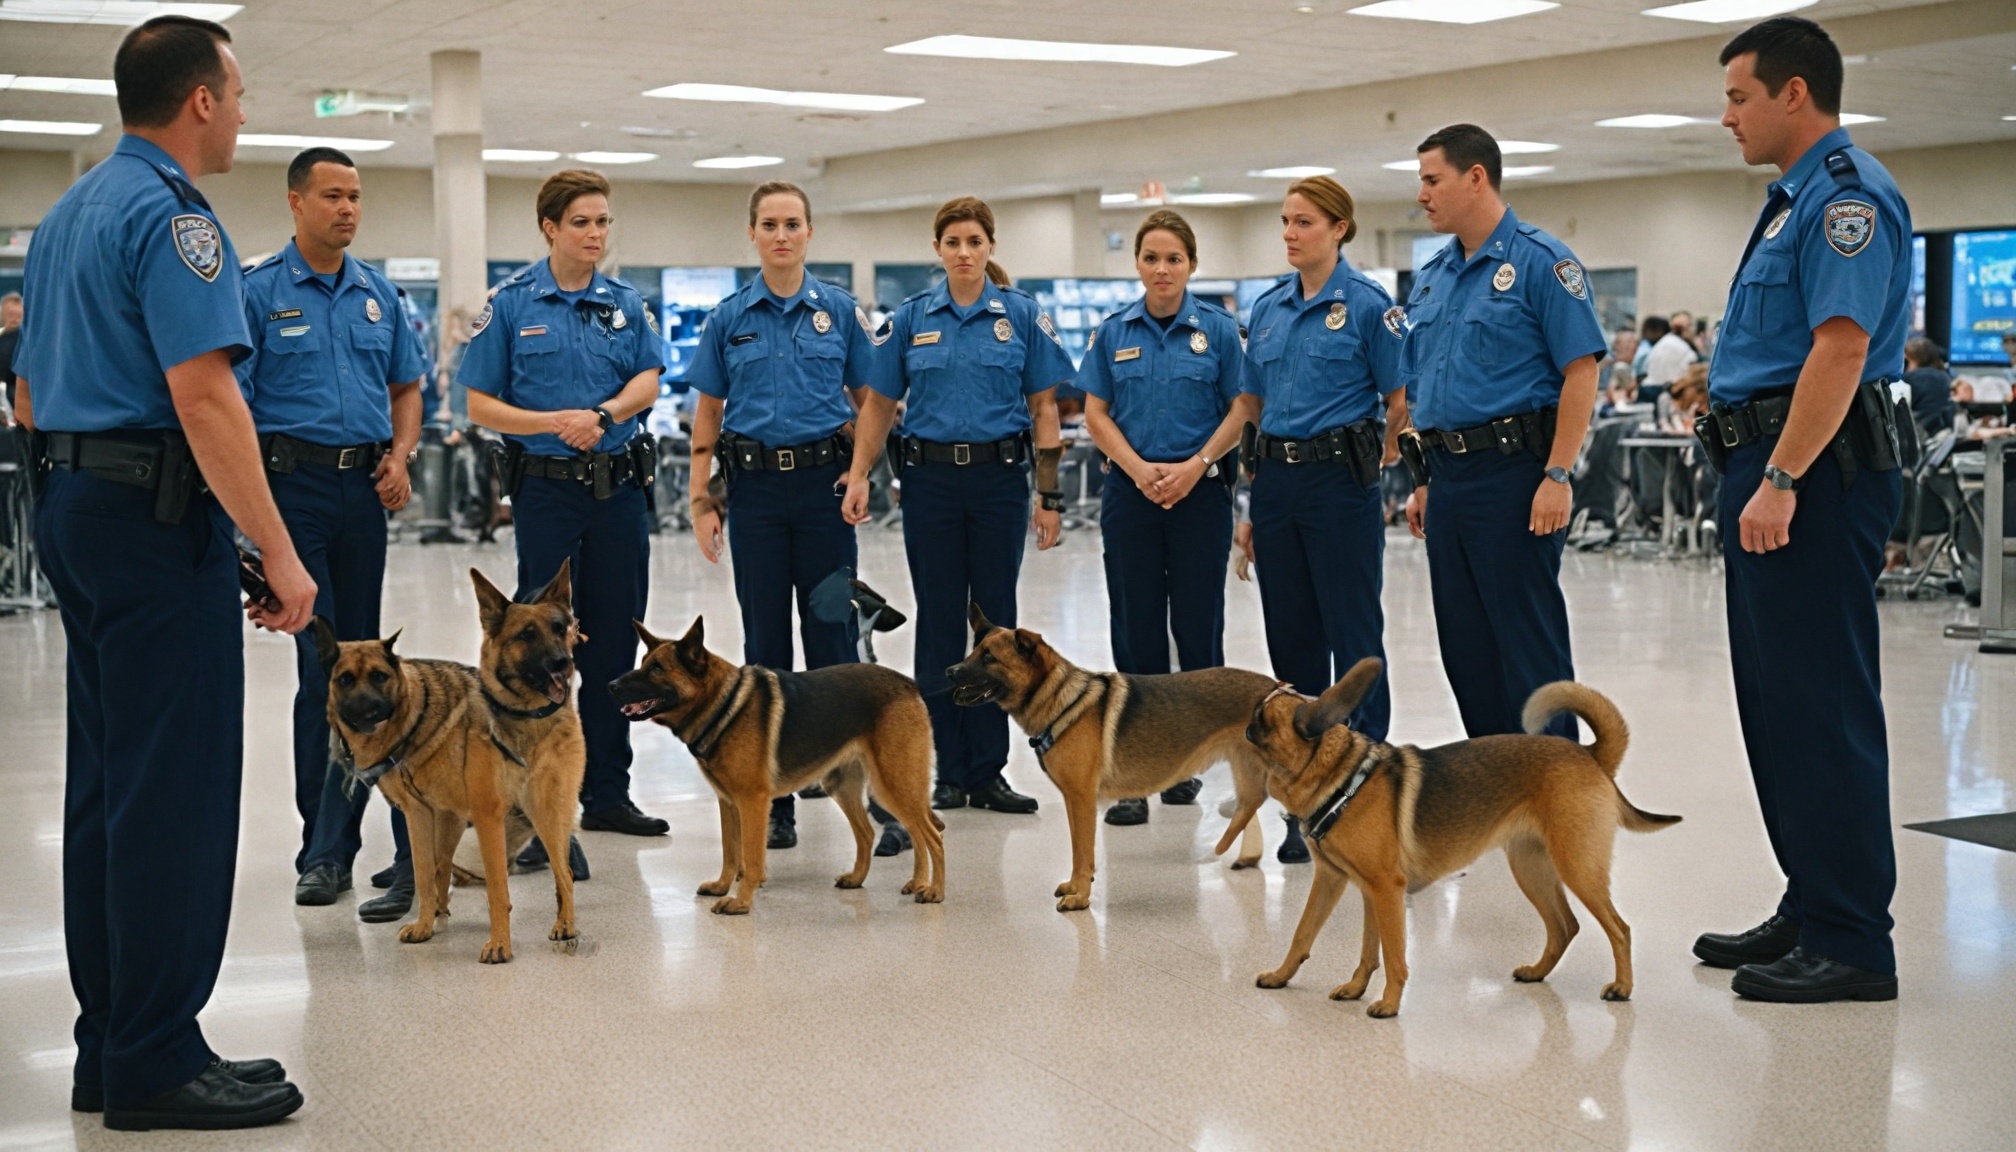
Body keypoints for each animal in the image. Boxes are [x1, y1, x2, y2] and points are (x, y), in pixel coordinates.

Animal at [312, 564, 584, 960]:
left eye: (560, 628)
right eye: (527, 634)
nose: (563, 664)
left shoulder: (485, 817)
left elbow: (497, 890)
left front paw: (499, 944)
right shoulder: (429, 815)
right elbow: (429, 873)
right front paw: (428, 923)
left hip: (543, 813)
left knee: (563, 872)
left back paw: (565, 924)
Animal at [604, 617, 943, 915]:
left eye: (657, 668)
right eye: (643, 663)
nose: (611, 685)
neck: (723, 705)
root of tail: (909, 683)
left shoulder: (752, 802)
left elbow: (751, 857)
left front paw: (741, 902)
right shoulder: (729, 803)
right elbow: (731, 851)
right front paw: (723, 886)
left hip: (892, 786)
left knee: (931, 835)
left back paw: (934, 890)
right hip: (846, 787)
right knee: (876, 833)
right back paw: (881, 880)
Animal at [943, 609, 1274, 915]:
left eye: (989, 657)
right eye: (974, 651)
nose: (949, 671)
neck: (1060, 700)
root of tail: (1276, 688)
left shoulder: (1082, 800)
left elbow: (1083, 851)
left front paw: (1080, 899)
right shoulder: (1073, 801)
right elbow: (1079, 851)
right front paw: (1077, 888)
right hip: (1248, 771)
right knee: (1252, 802)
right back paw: (1246, 856)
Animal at [1233, 657, 1677, 1016]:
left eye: (1265, 720)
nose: (1246, 724)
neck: (1341, 778)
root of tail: (1589, 754)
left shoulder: (1385, 890)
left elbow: (1393, 955)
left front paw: (1389, 1004)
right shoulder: (1350, 886)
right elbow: (1316, 936)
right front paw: (1295, 979)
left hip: (1577, 868)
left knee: (1619, 929)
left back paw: (1622, 987)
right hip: (1531, 869)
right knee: (1565, 926)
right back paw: (1537, 972)